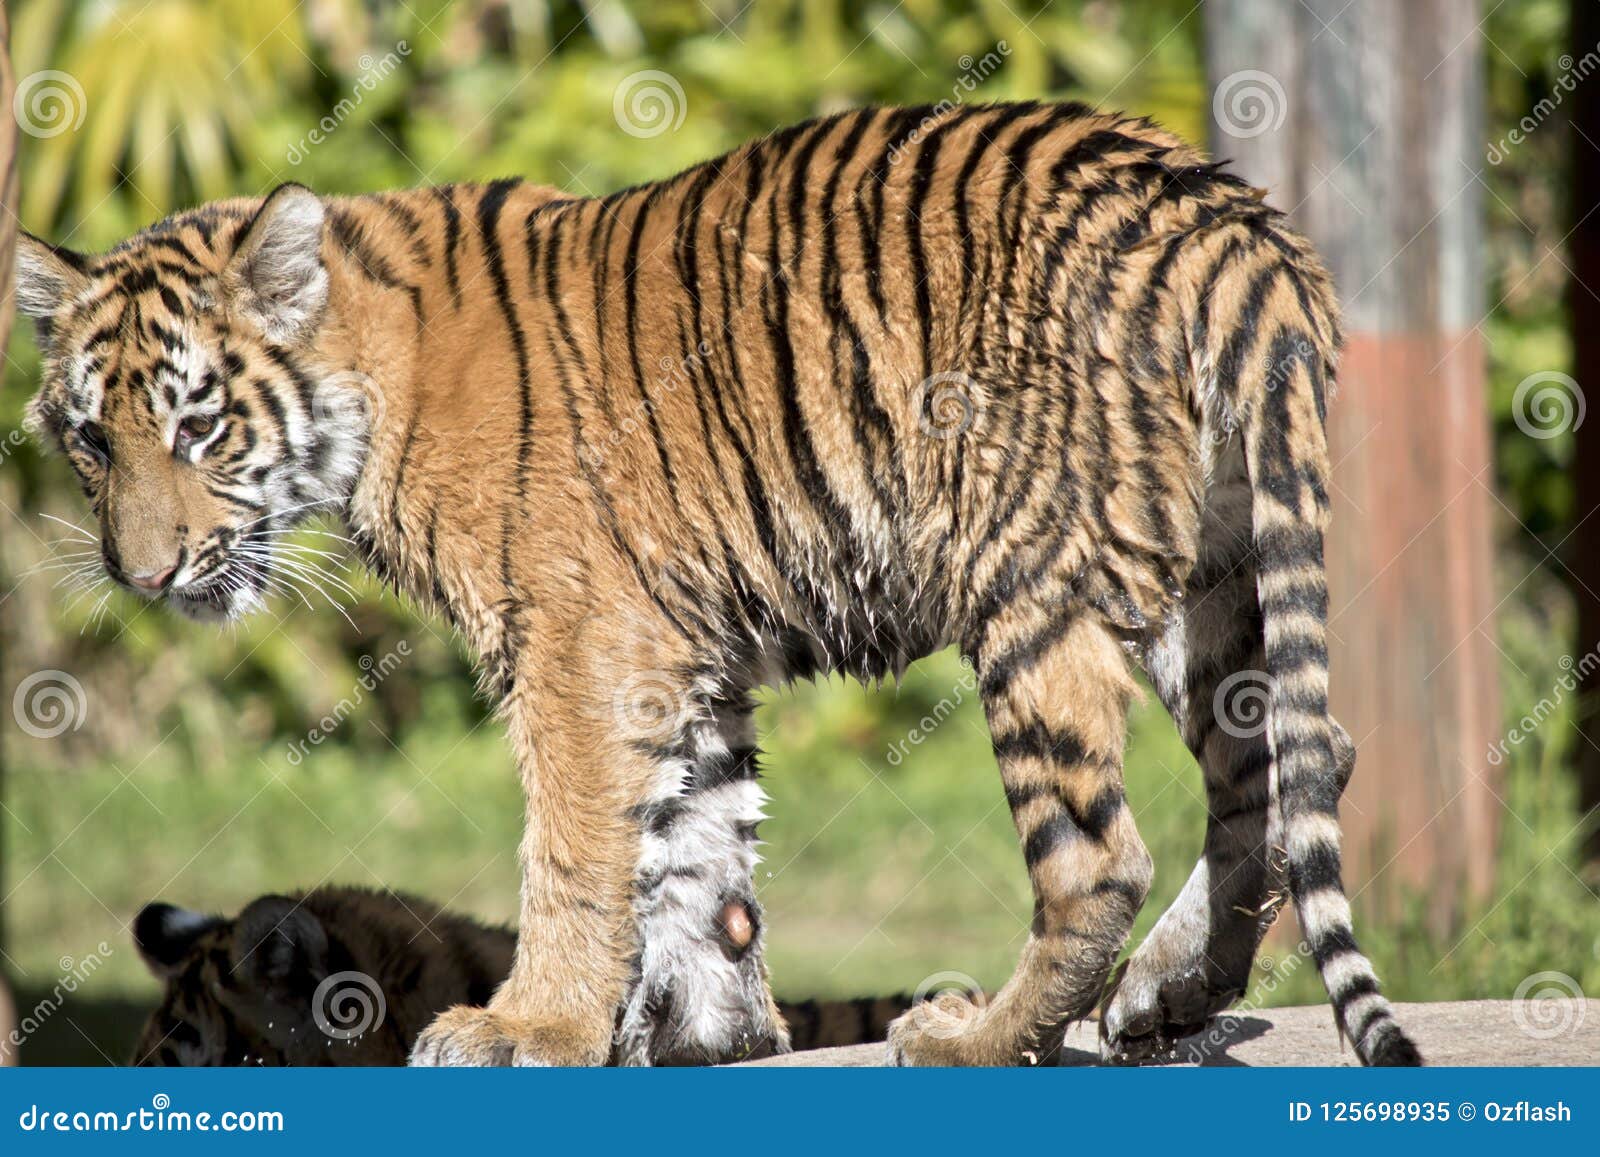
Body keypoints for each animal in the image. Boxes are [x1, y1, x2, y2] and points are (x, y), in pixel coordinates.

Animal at [15, 99, 1421, 1067]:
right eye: (91, 439)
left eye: (197, 427)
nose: (143, 570)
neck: (371, 380)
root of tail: (1222, 217)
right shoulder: (676, 654)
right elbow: (697, 858)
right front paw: (711, 1033)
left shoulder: (575, 644)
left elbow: (576, 847)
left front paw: (526, 1025)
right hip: (1208, 570)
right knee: (1293, 757)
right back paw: (1171, 993)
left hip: (1027, 579)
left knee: (1098, 853)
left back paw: (973, 1036)